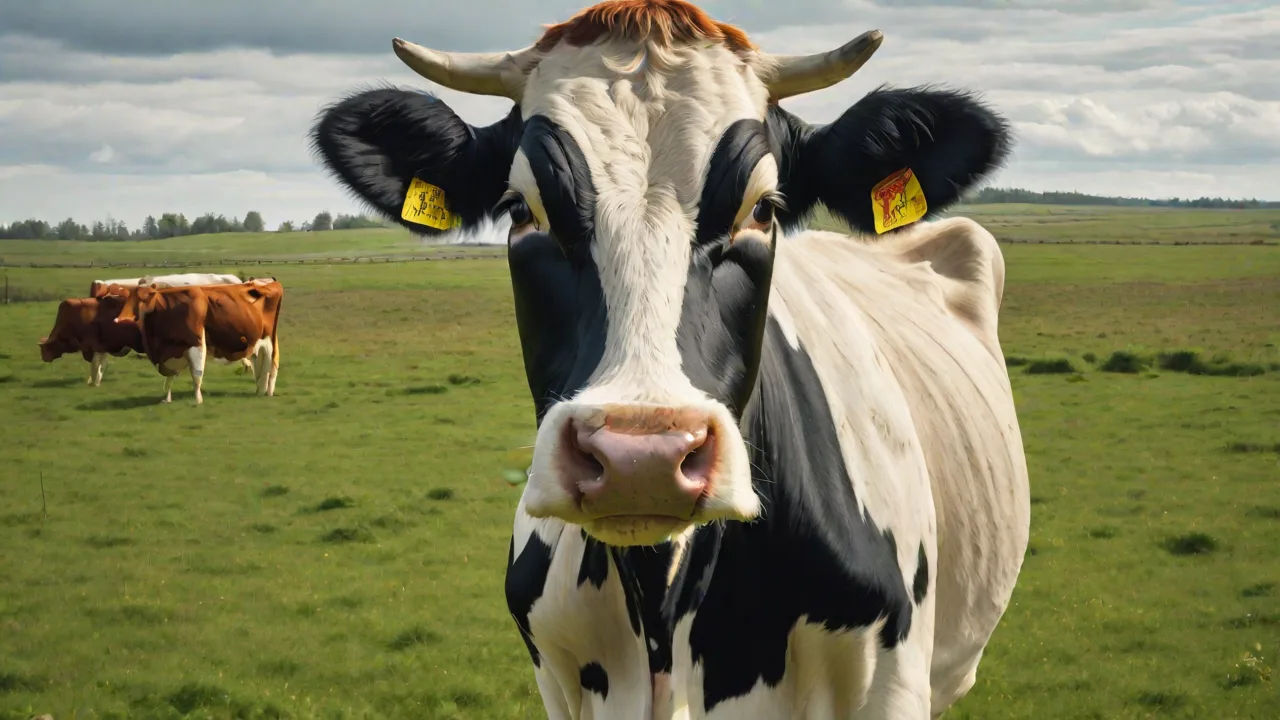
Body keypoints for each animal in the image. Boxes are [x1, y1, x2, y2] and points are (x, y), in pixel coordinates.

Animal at [115, 280, 283, 405]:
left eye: (147, 296)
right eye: (128, 299)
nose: (121, 319)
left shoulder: (196, 343)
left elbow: (196, 373)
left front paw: (198, 400)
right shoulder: (169, 353)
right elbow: (169, 377)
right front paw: (167, 399)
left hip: (268, 342)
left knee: (269, 367)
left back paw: (267, 392)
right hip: (255, 344)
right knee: (259, 367)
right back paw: (259, 390)